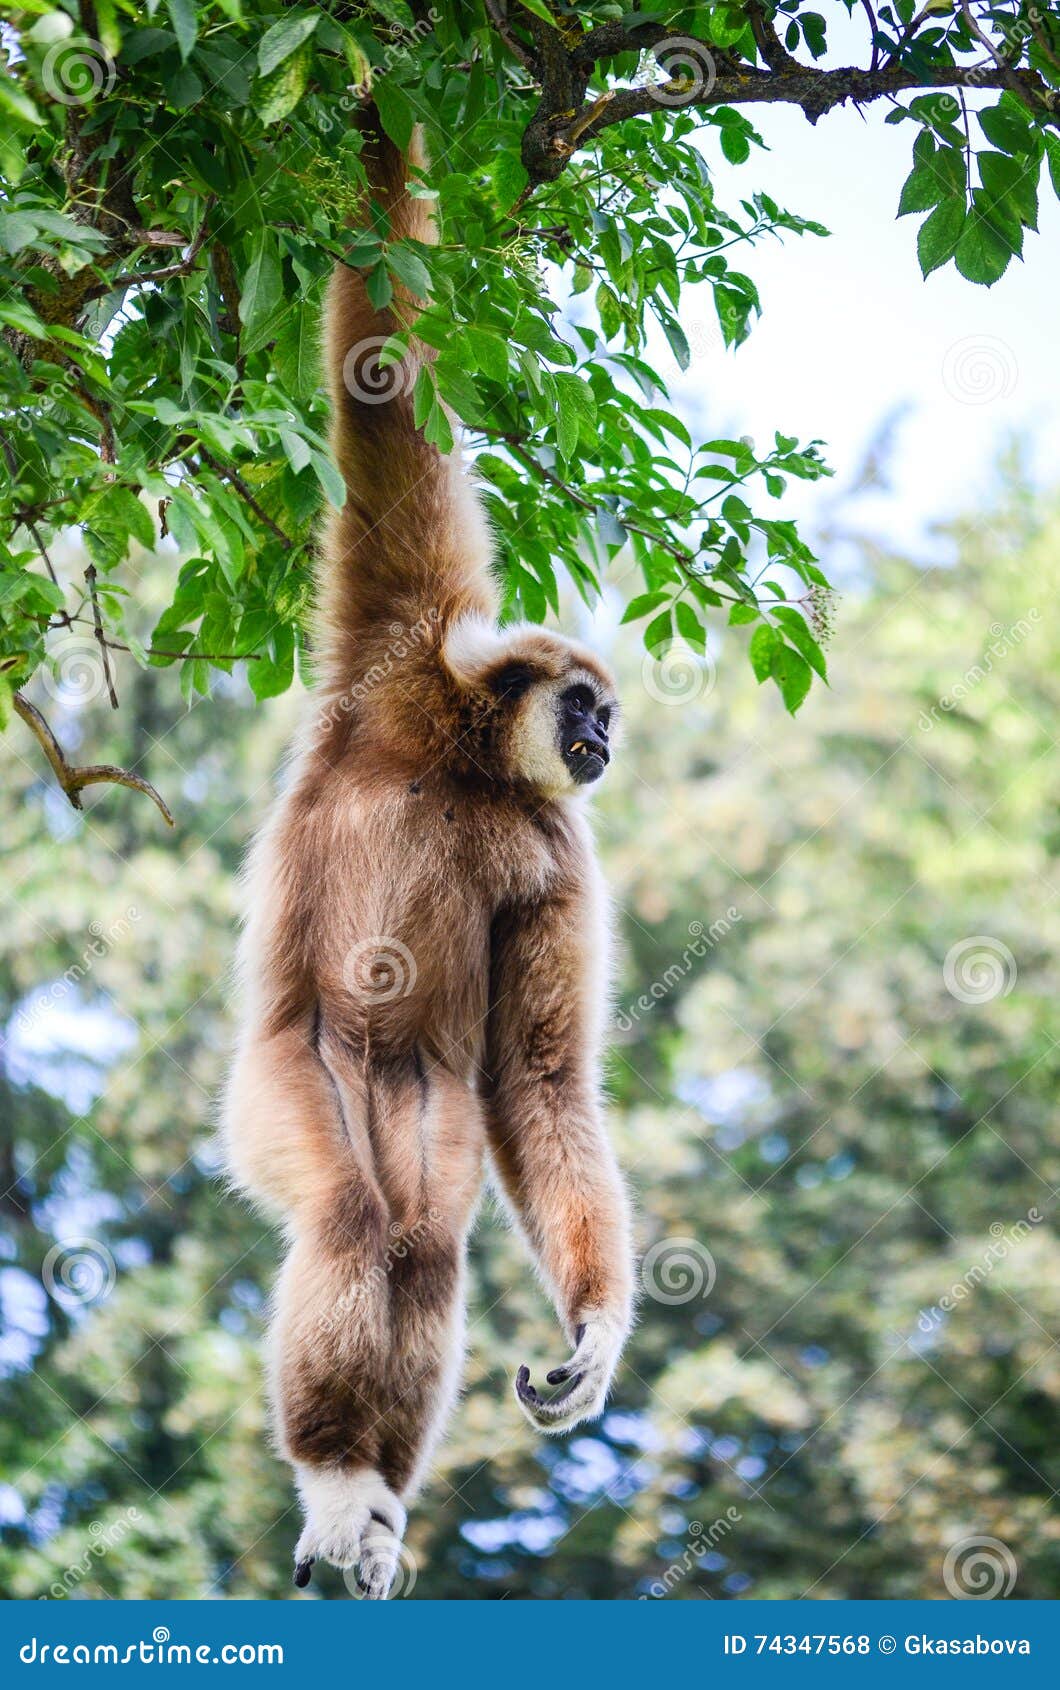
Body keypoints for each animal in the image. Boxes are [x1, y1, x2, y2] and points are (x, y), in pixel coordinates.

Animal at [220, 109, 633, 1600]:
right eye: (584, 705)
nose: (604, 735)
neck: (464, 753)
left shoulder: (562, 852)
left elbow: (542, 1081)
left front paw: (601, 1325)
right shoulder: (399, 634)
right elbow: (383, 377)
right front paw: (370, 117)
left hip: (425, 1101)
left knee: (426, 1238)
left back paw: (371, 1494)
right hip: (294, 1074)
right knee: (355, 1223)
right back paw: (343, 1477)